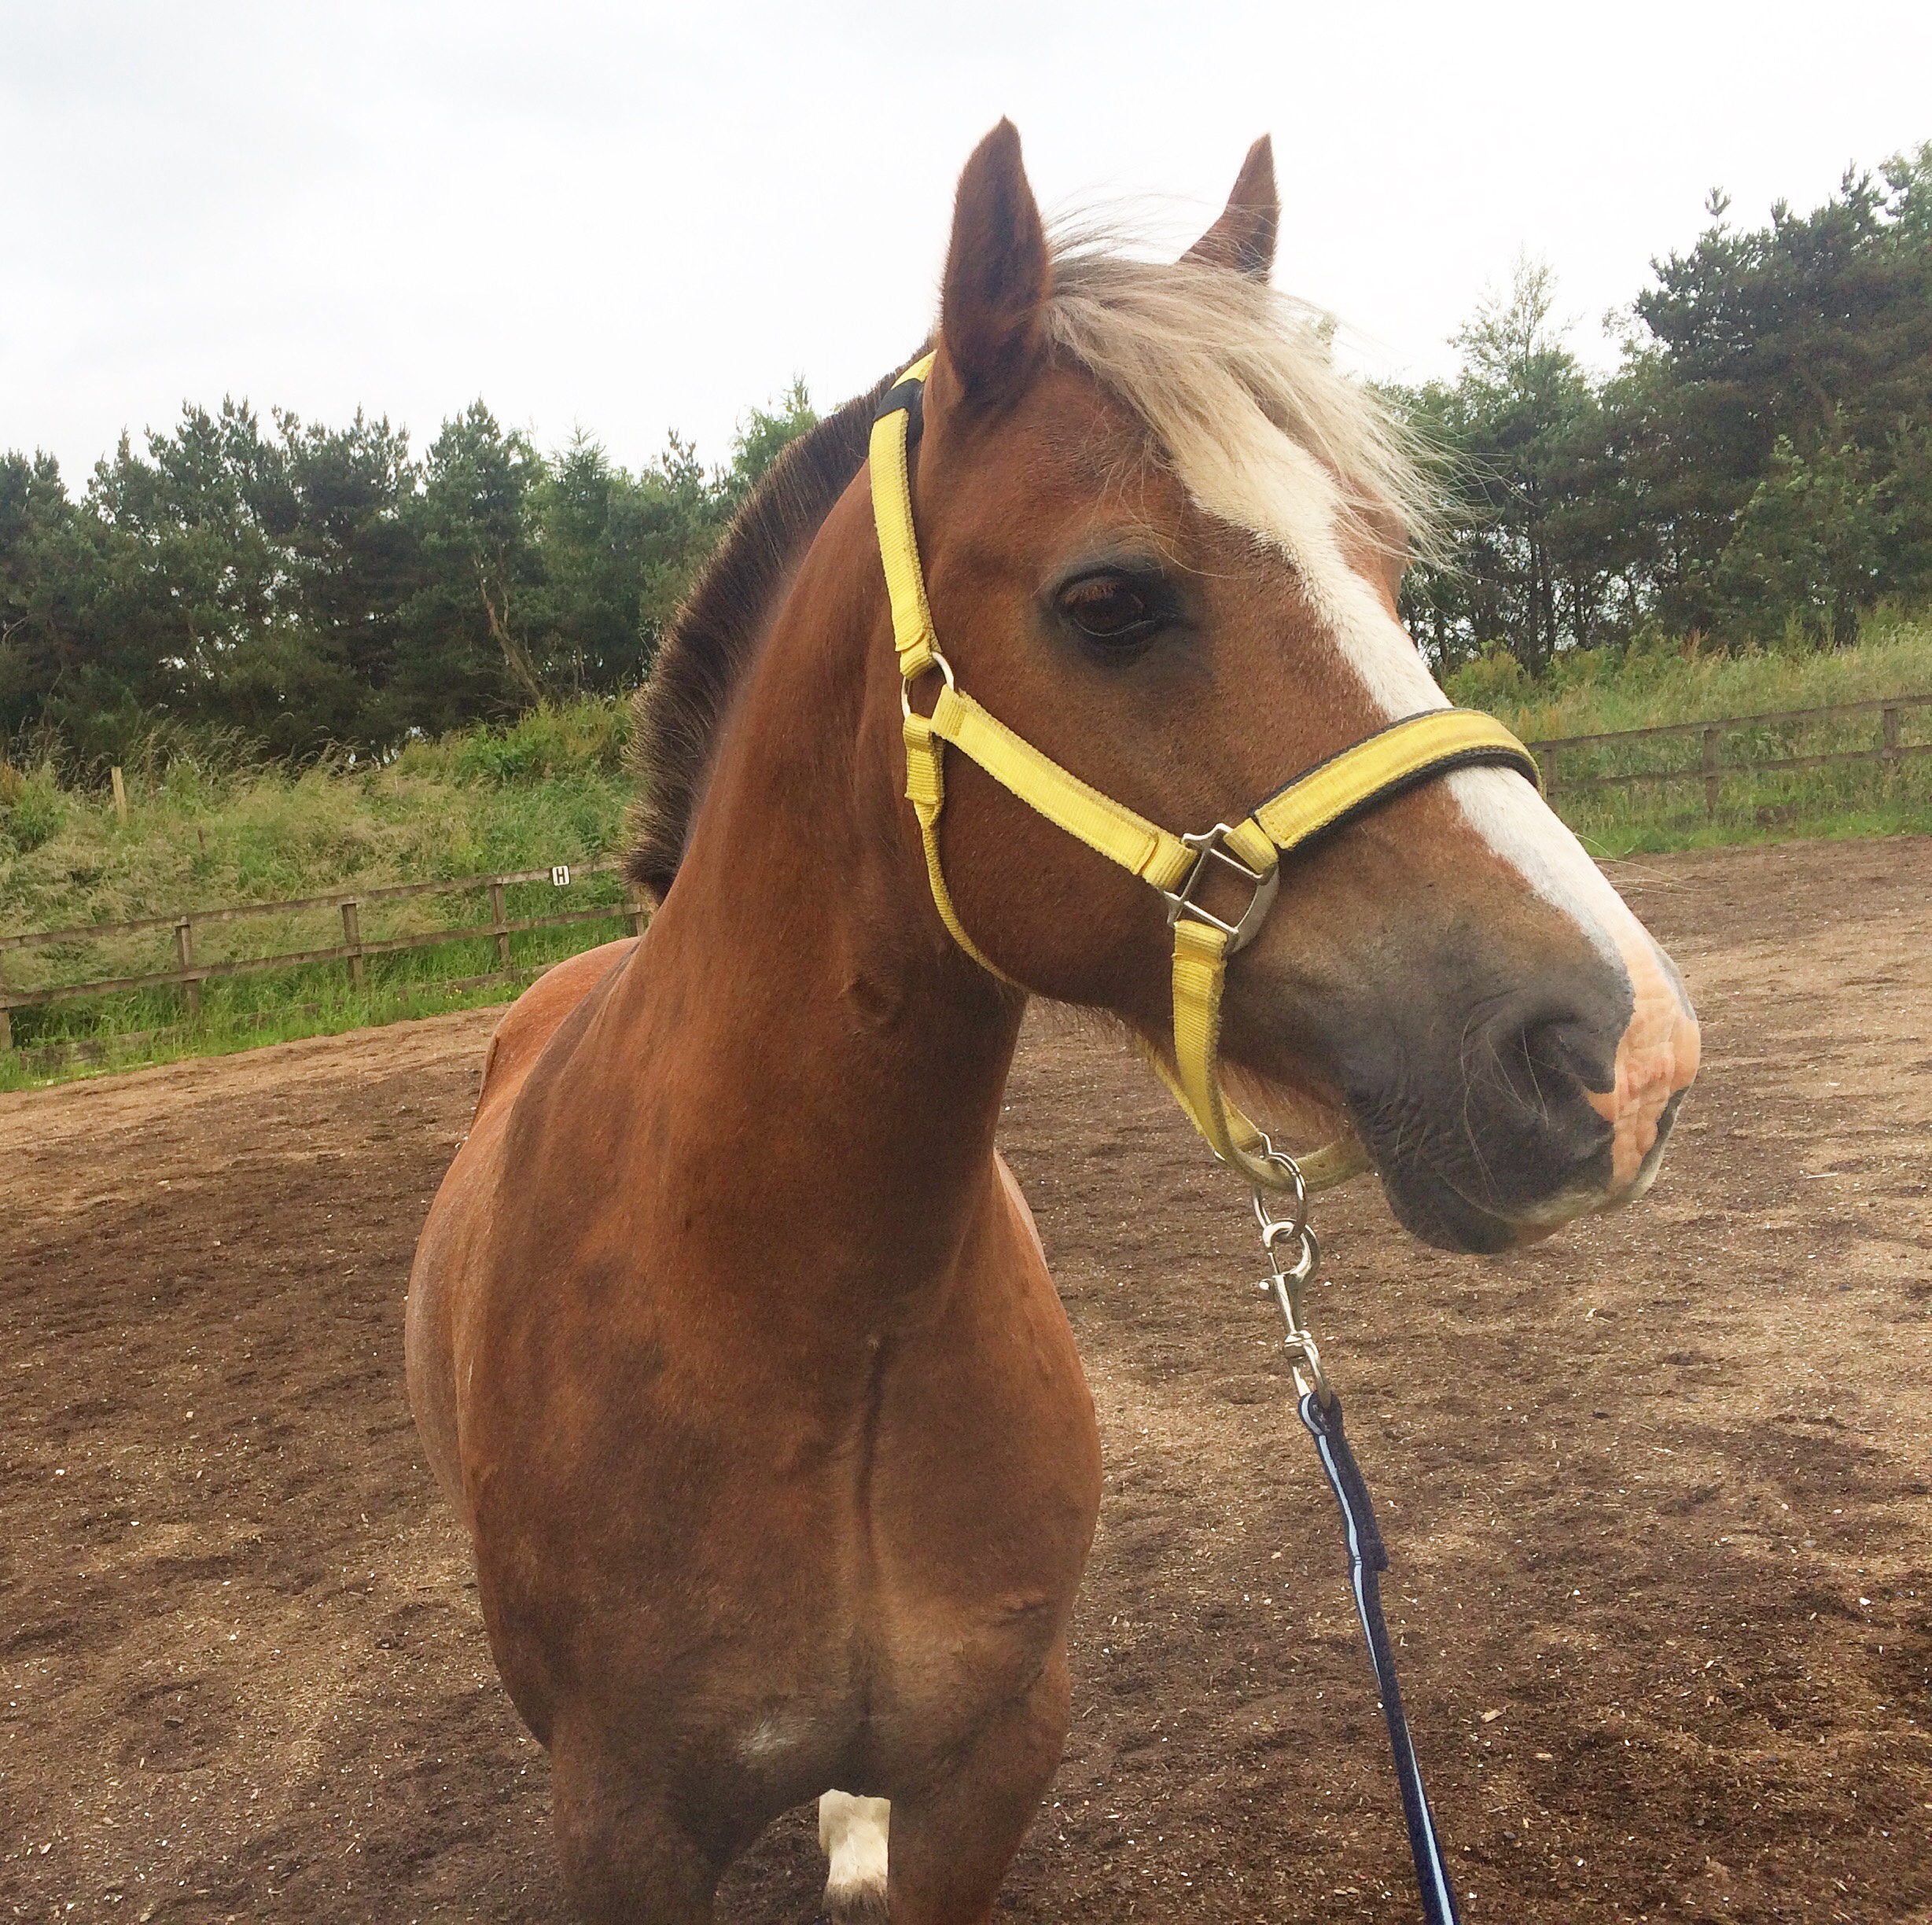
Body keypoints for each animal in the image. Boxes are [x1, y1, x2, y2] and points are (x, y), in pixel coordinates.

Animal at [405, 122, 1700, 1923]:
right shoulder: (624, 1827)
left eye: (1381, 564)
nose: (1628, 1056)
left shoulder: (993, 1758)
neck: (811, 1330)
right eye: (1107, 600)